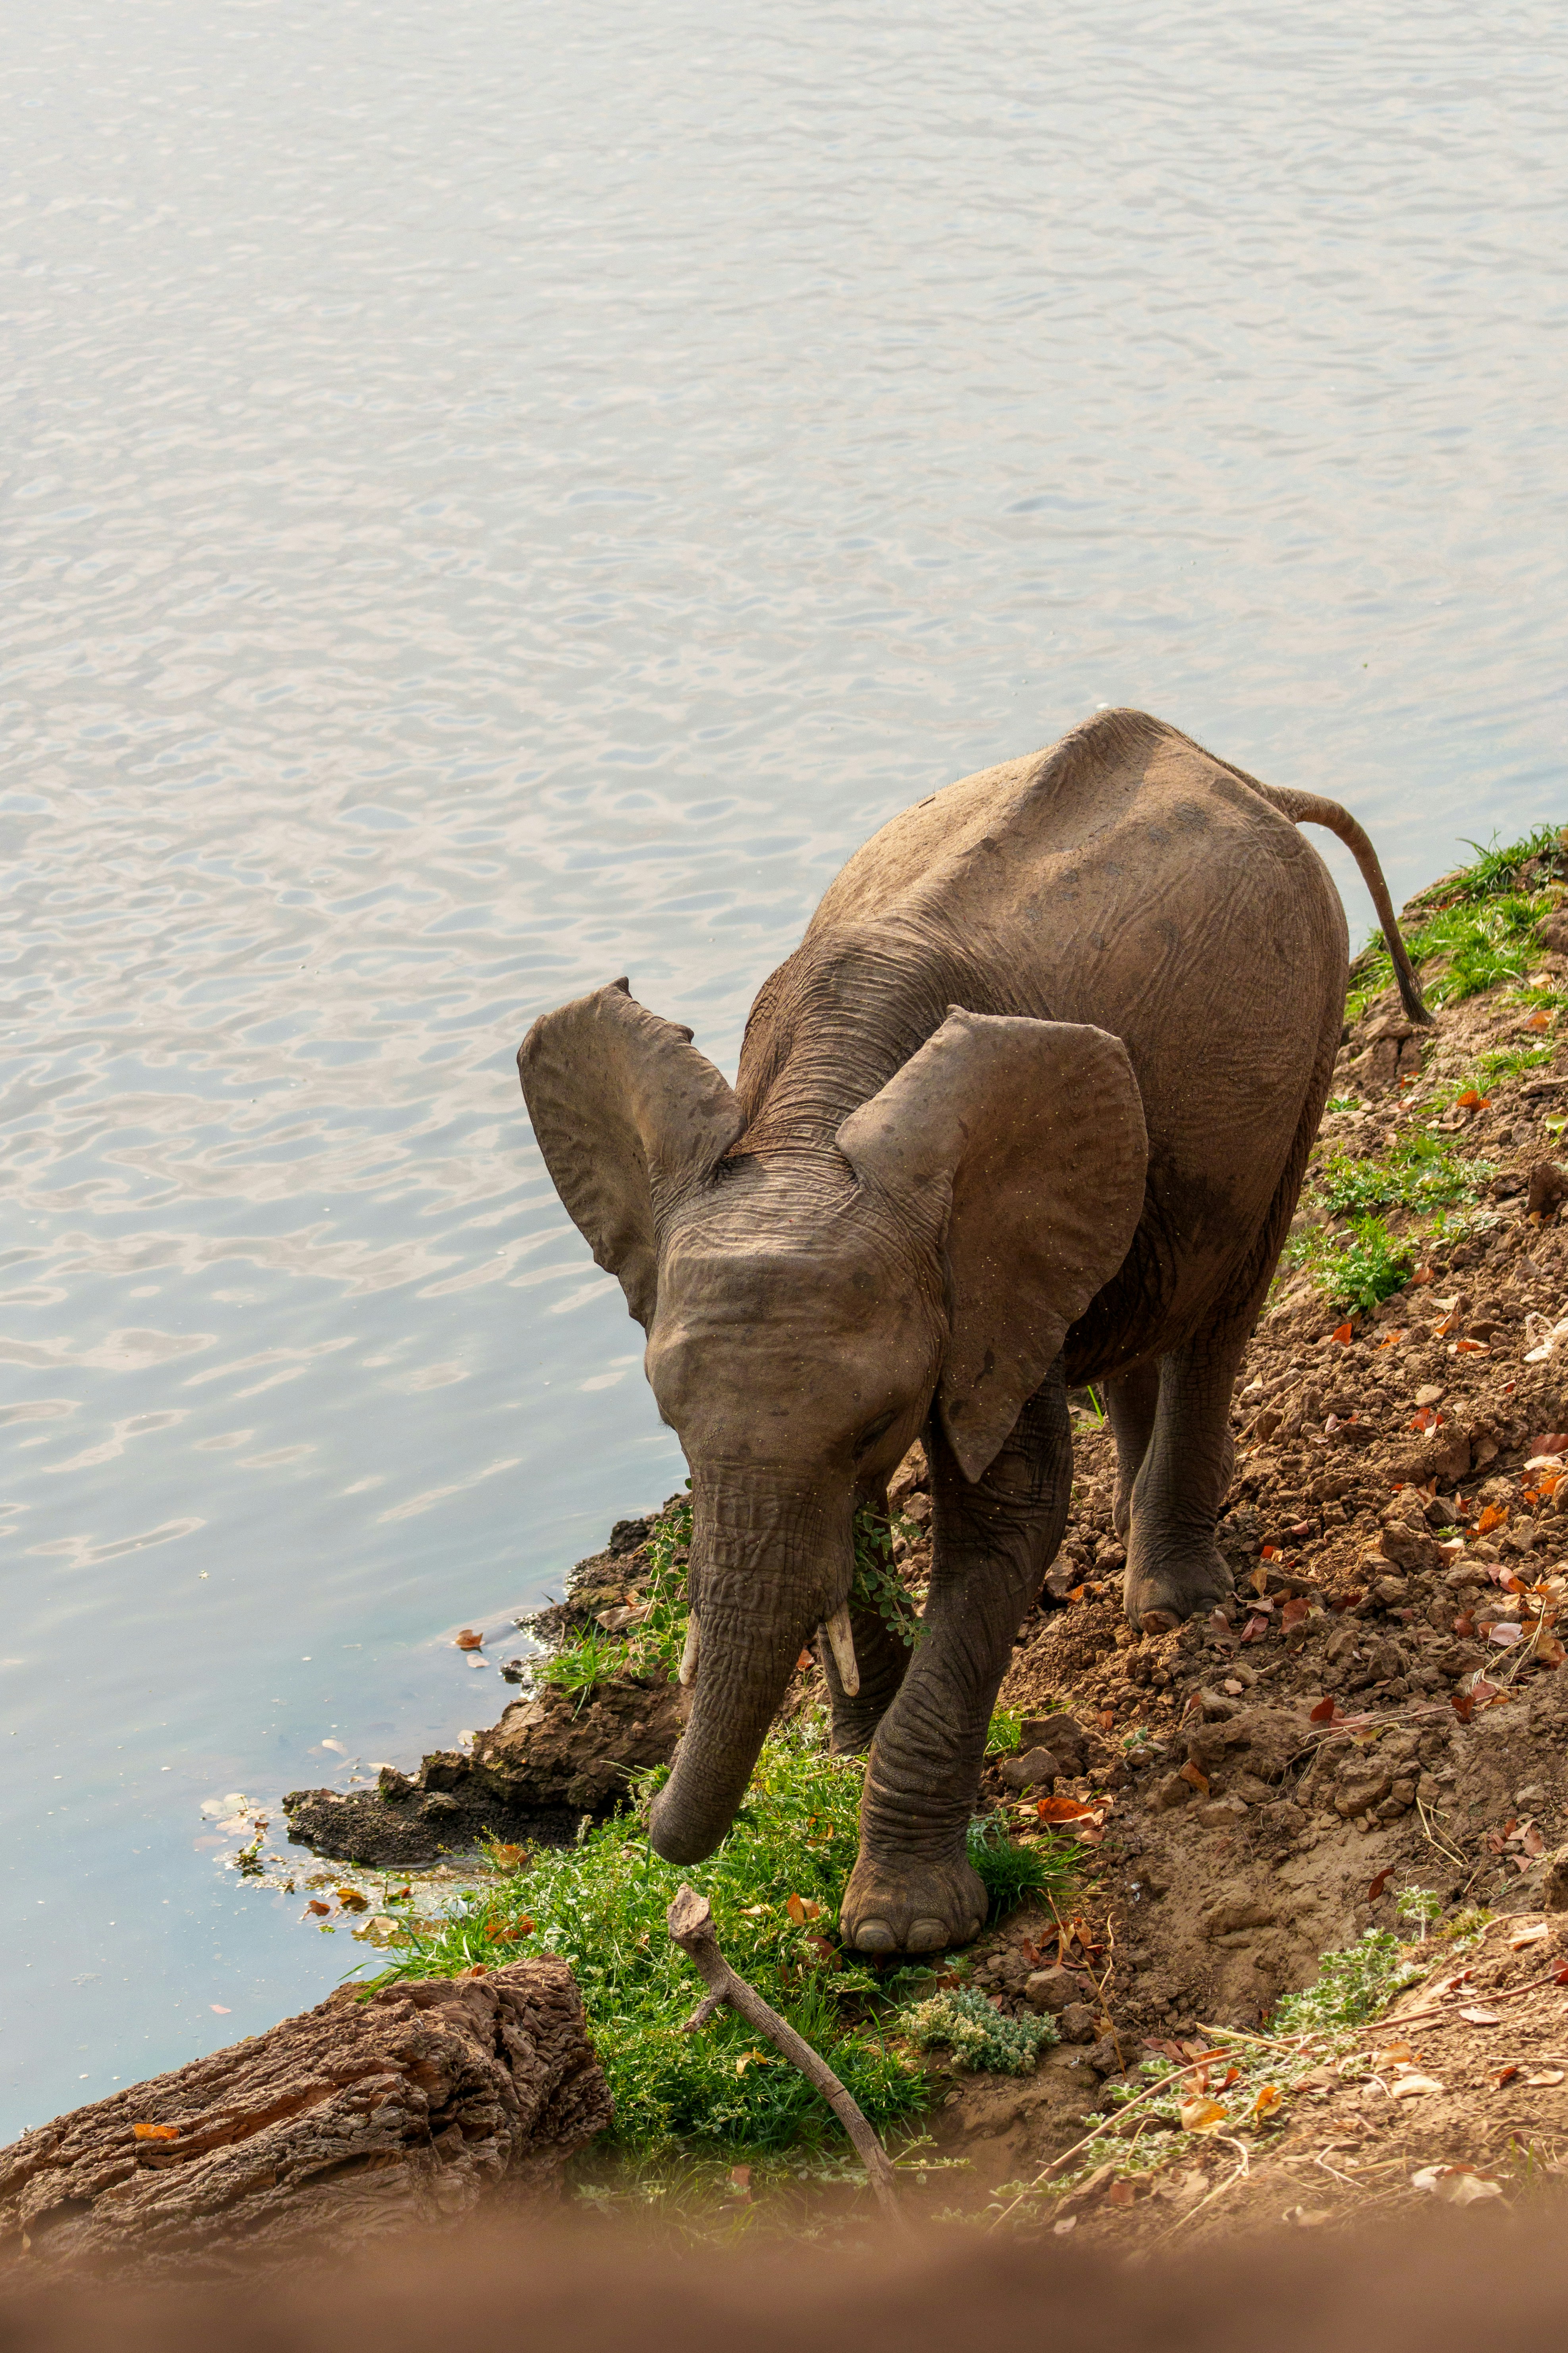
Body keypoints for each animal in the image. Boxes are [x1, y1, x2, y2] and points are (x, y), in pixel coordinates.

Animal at [518, 707, 1427, 1955]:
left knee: (1221, 1304)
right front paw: (848, 1746)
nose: (673, 1887)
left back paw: (1172, 1600)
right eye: (667, 1420)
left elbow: (1008, 1518)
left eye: (873, 1423)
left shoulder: (980, 1264)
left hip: (1309, 1030)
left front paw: (901, 1931)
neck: (810, 1120)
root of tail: (1238, 771)